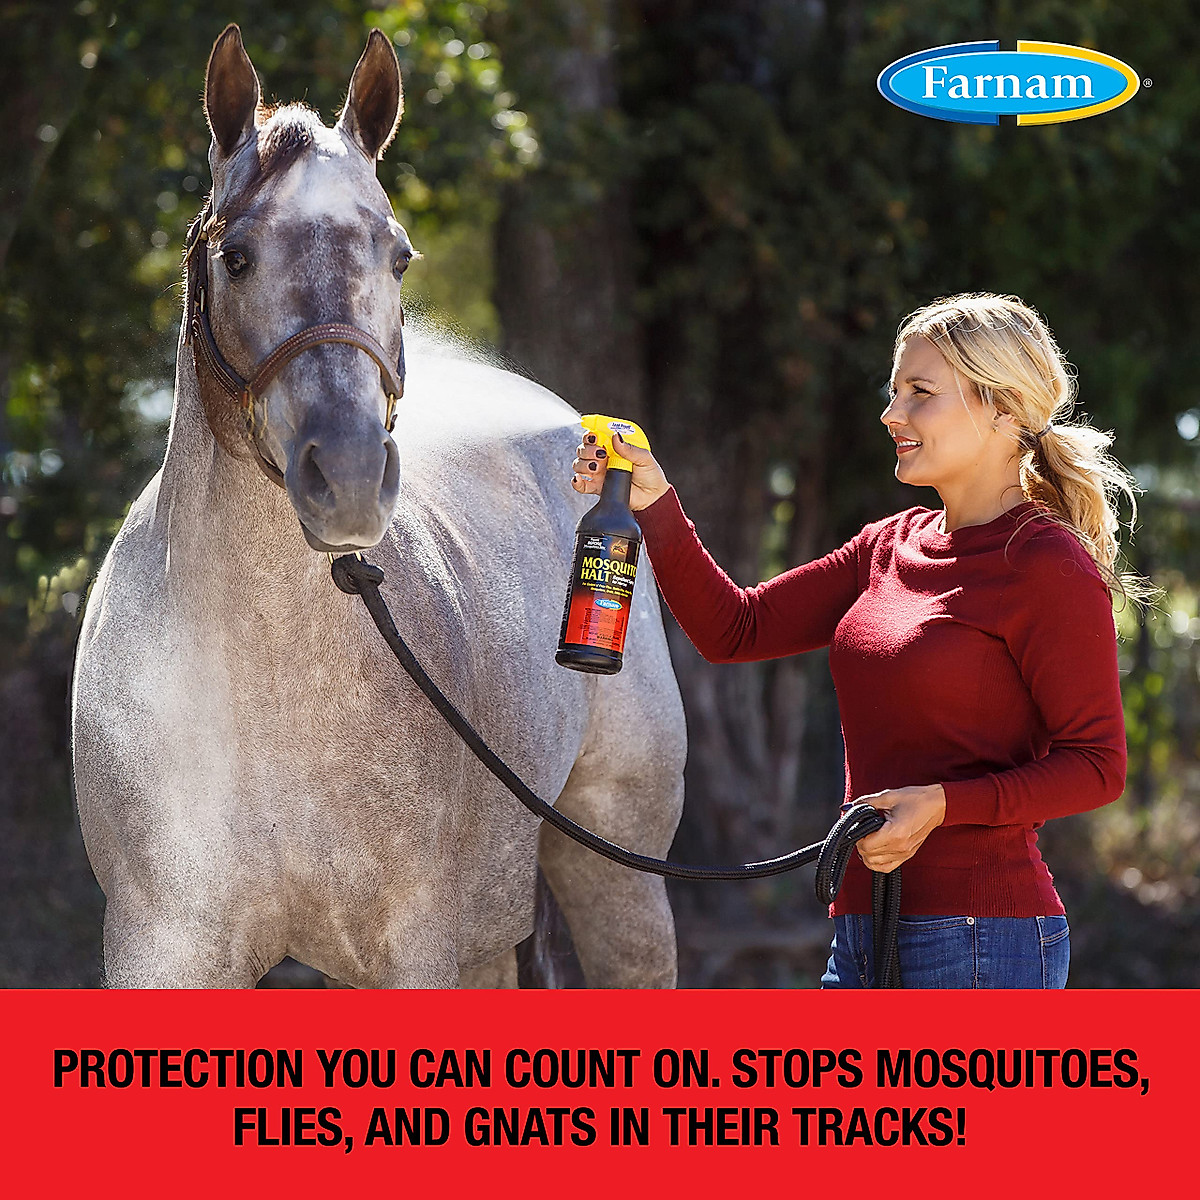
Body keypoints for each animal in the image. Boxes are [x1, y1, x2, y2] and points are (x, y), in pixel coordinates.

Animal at [70, 25, 686, 988]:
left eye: (398, 255)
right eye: (235, 256)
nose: (351, 476)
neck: (265, 682)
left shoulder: (413, 948)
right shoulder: (163, 949)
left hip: (615, 878)